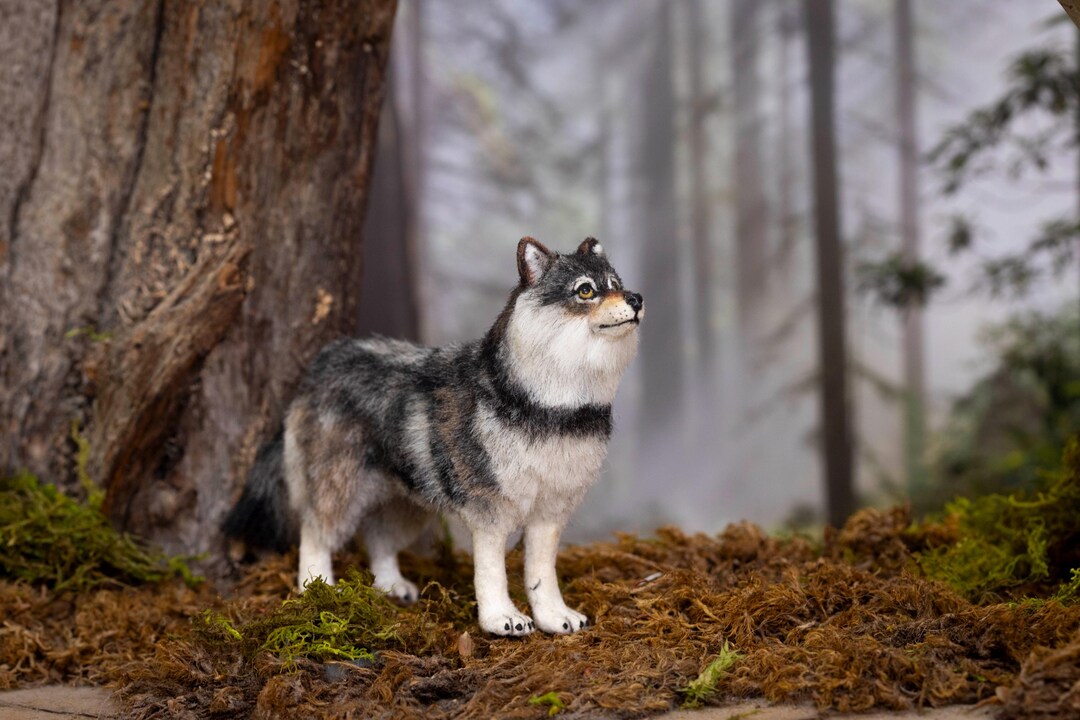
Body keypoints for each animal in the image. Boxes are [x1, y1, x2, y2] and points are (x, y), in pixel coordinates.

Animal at [223, 237, 642, 636]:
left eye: (616, 284)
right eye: (585, 290)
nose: (637, 299)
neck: (549, 403)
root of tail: (321, 366)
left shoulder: (549, 515)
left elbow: (542, 575)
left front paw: (555, 618)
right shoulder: (491, 516)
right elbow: (492, 573)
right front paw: (502, 620)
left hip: (405, 505)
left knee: (378, 542)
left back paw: (391, 587)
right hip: (339, 490)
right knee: (314, 534)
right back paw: (319, 590)